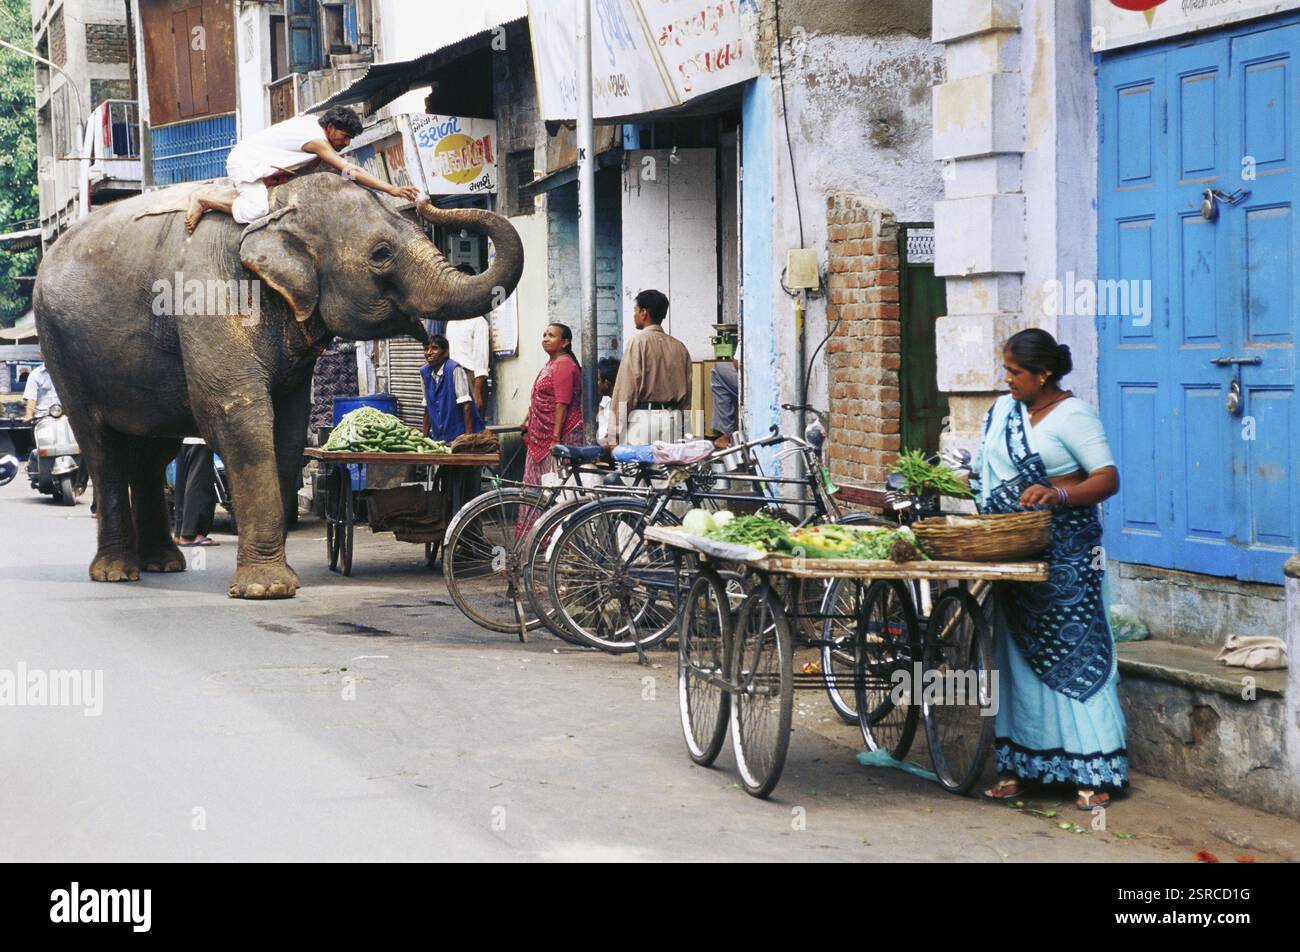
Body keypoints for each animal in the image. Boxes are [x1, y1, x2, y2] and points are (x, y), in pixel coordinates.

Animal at [33, 172, 523, 598]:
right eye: (382, 254)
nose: (422, 198)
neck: (277, 203)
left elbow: (288, 428)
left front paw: (275, 580)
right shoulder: (206, 294)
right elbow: (237, 415)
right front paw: (267, 590)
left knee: (153, 454)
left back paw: (164, 564)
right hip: (59, 348)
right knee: (103, 449)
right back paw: (116, 573)